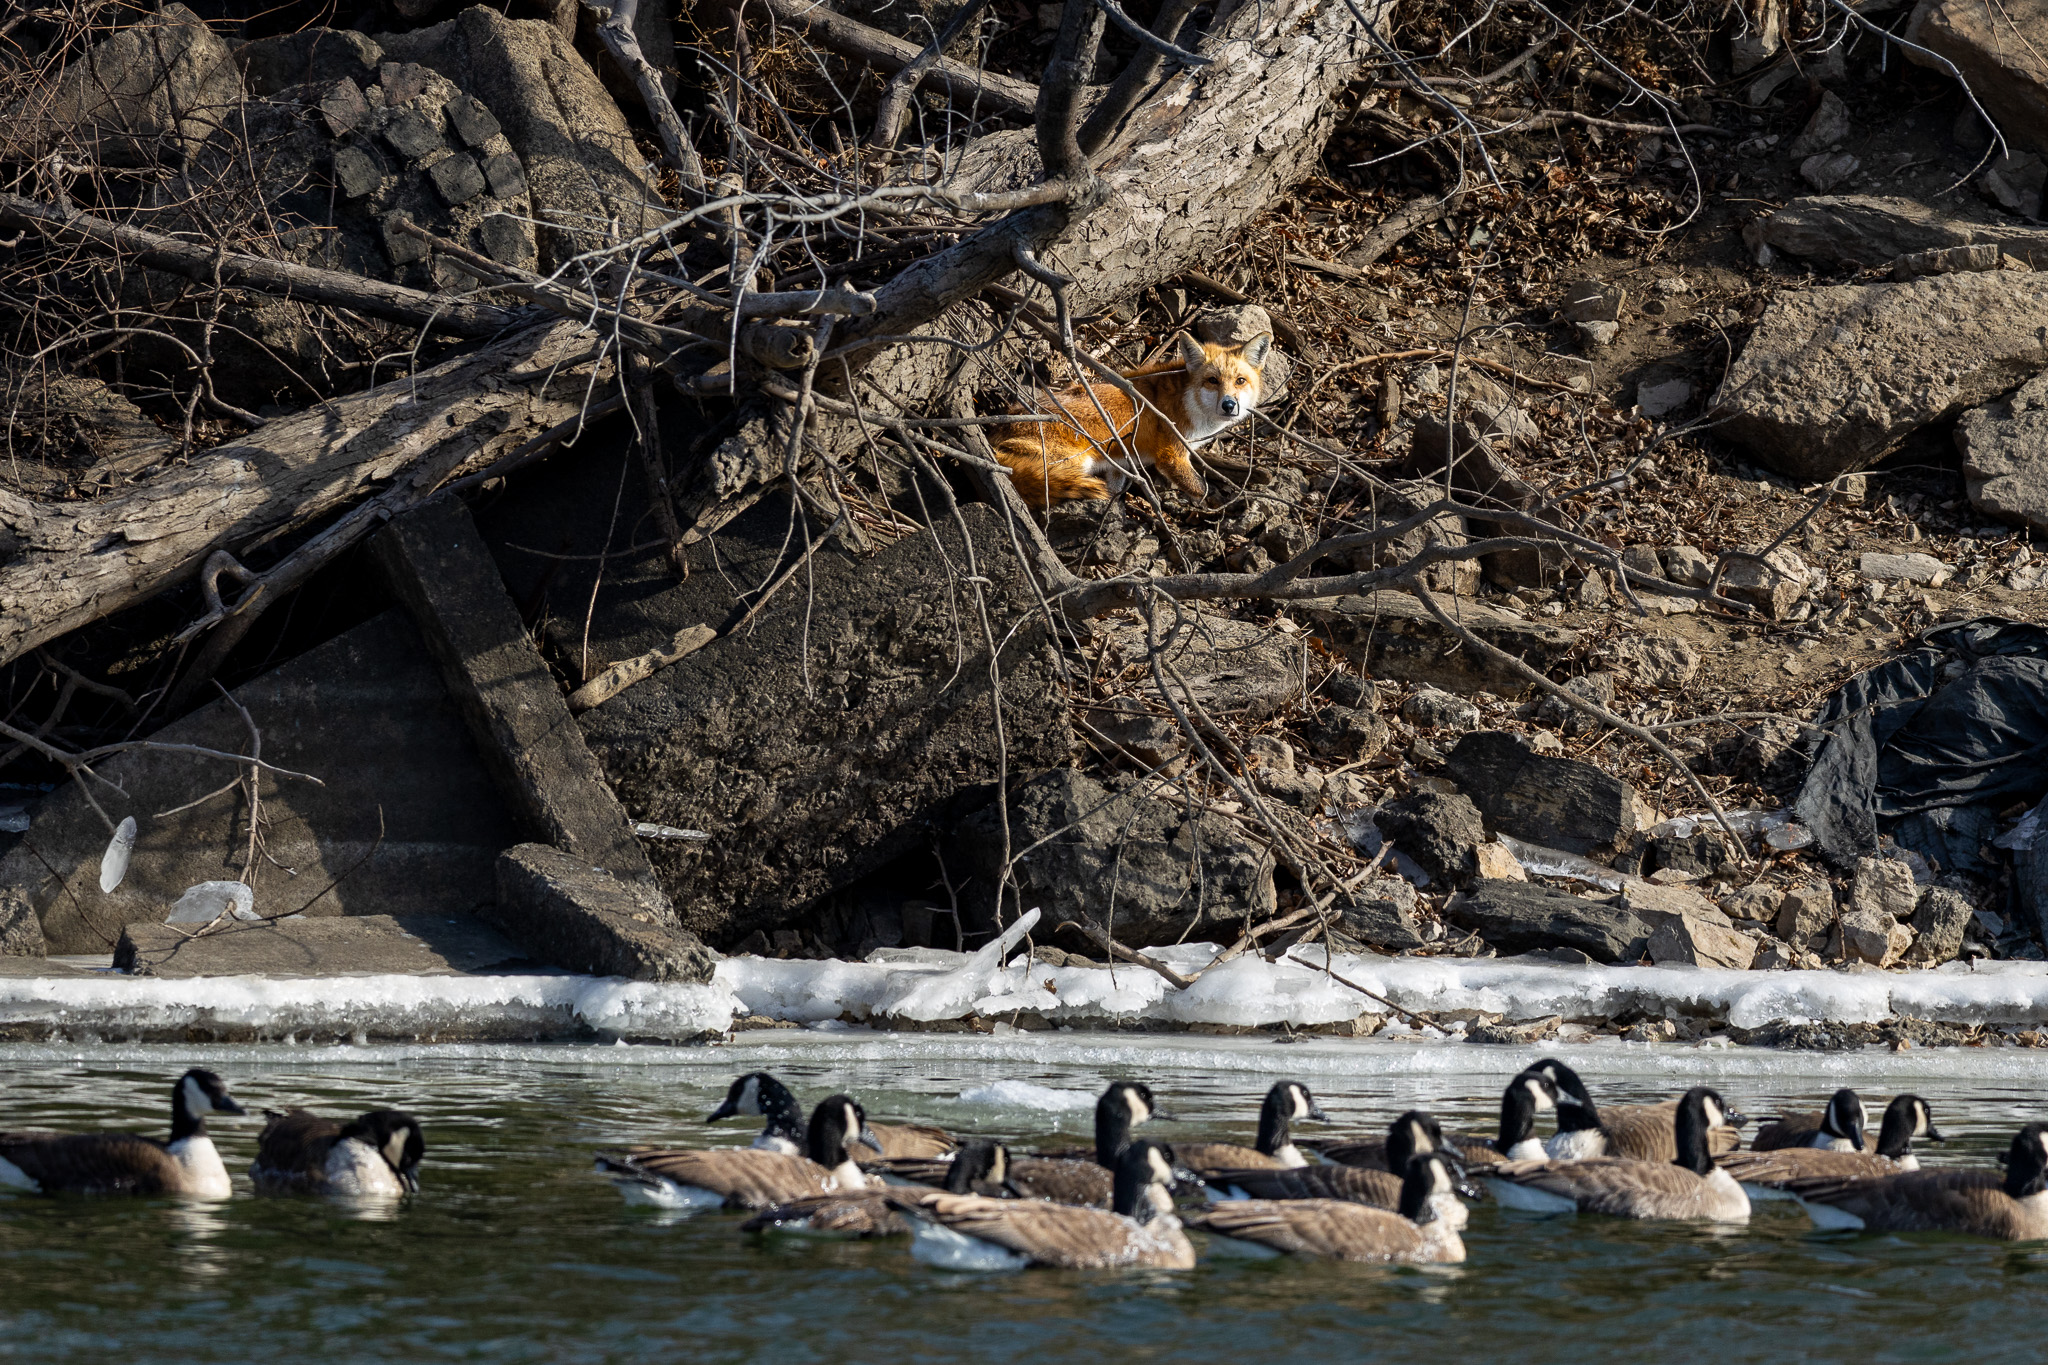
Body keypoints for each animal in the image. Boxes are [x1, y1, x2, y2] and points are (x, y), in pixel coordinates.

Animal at [991, 331, 1271, 508]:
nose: (1229, 405)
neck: (1187, 402)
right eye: (1212, 380)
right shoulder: (1172, 455)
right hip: (1075, 462)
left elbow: (1116, 487)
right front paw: (1224, 505)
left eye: (1240, 381)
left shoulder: (1119, 462)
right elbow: (1202, 489)